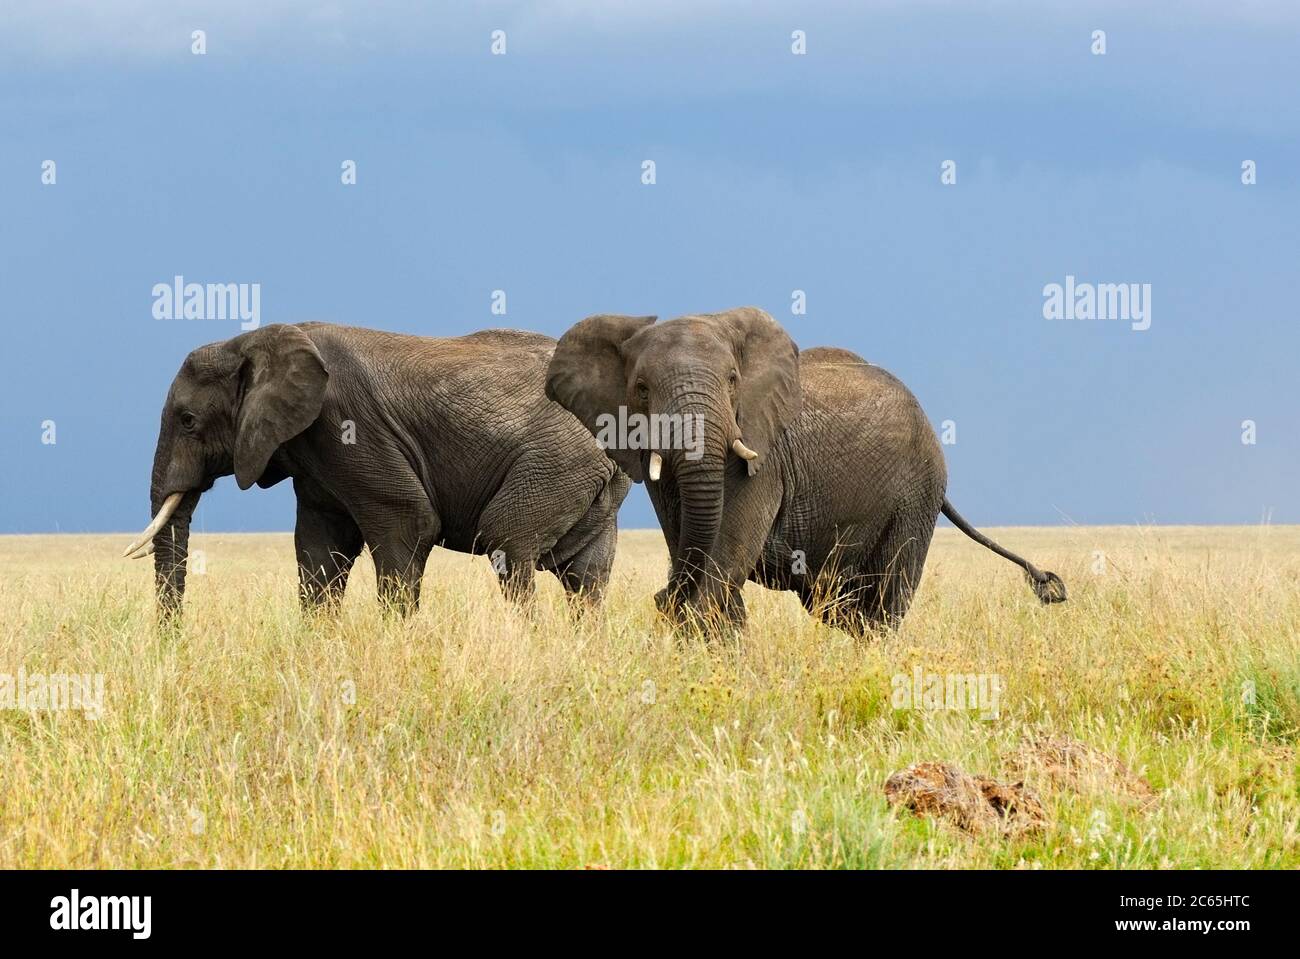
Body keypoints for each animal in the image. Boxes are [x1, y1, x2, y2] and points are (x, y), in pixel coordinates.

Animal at [126, 322, 630, 618]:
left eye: (188, 421)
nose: (175, 643)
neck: (253, 340)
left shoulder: (348, 426)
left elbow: (409, 523)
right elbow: (319, 548)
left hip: (556, 459)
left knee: (506, 538)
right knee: (586, 572)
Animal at [545, 307, 1065, 634]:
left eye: (732, 381)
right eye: (641, 388)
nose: (662, 595)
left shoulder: (764, 458)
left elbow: (723, 566)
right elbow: (695, 549)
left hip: (918, 492)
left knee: (884, 604)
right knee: (840, 609)